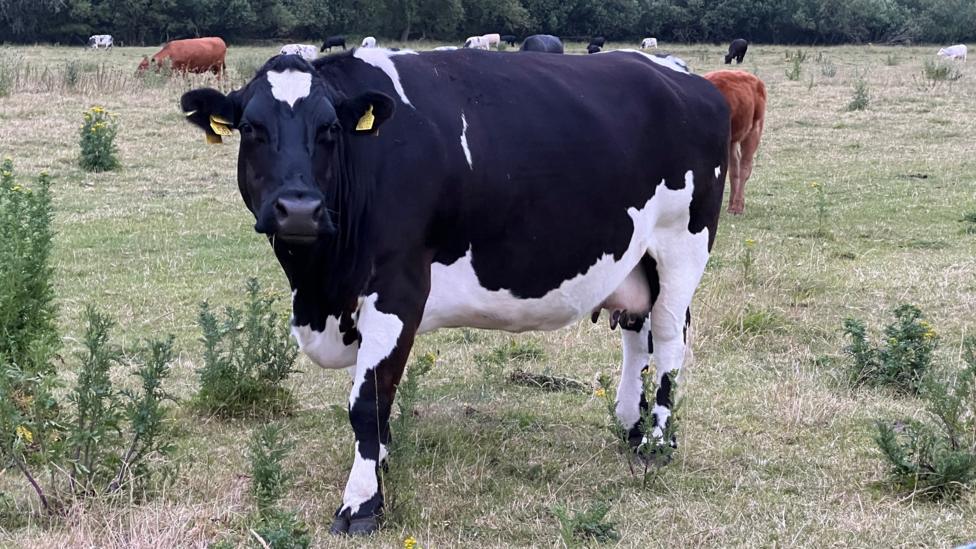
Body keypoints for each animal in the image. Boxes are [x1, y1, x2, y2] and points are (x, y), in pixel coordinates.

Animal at [178, 48, 728, 536]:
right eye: (252, 128)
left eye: (329, 129)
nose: (298, 209)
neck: (319, 287)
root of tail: (680, 74)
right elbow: (374, 400)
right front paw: (381, 462)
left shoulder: (396, 290)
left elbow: (368, 403)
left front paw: (362, 504)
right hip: (635, 263)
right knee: (637, 334)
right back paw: (629, 425)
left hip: (681, 246)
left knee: (670, 339)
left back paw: (656, 440)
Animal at [704, 70, 766, 214]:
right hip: (733, 139)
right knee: (735, 168)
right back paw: (732, 204)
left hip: (754, 131)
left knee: (744, 167)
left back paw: (737, 206)